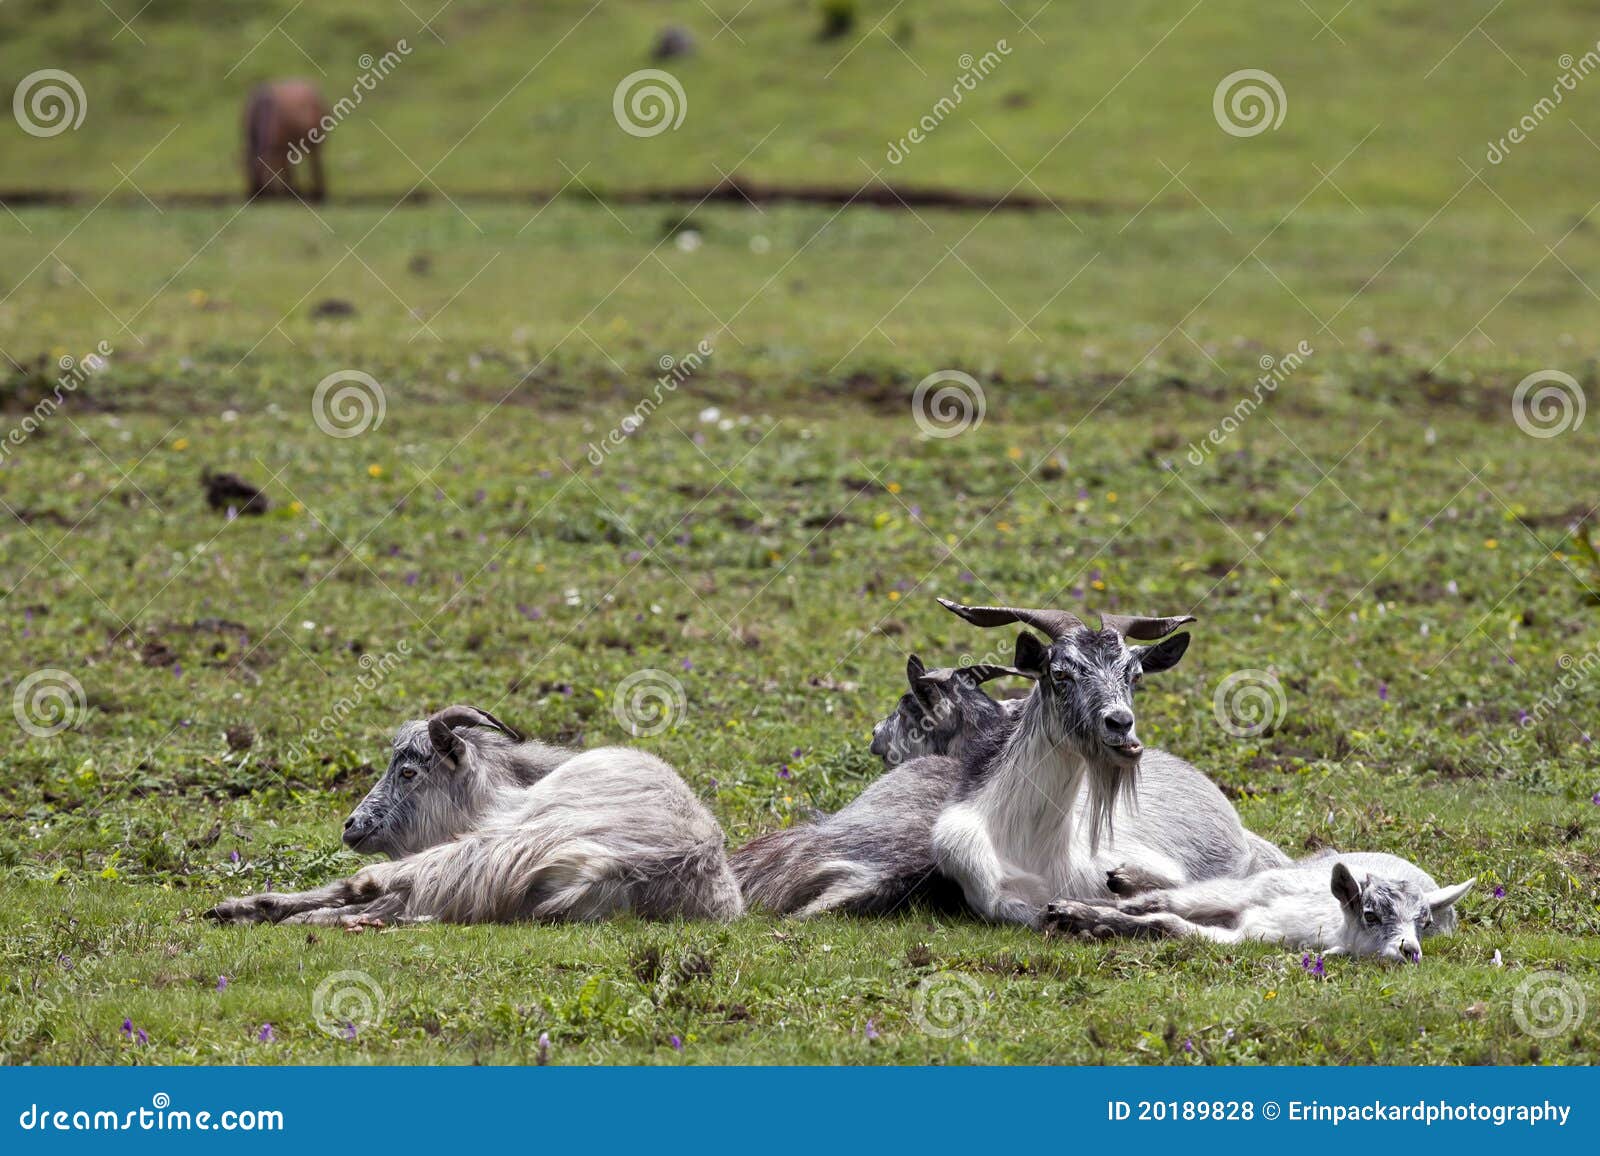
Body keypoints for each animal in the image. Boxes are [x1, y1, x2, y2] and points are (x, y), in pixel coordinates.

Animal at [1041, 851, 1474, 961]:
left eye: (1424, 923)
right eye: (1370, 914)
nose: (1410, 950)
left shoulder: (1247, 937)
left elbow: (1168, 922)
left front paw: (1082, 916)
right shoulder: (1251, 892)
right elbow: (1165, 902)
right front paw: (1077, 910)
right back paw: (1123, 877)